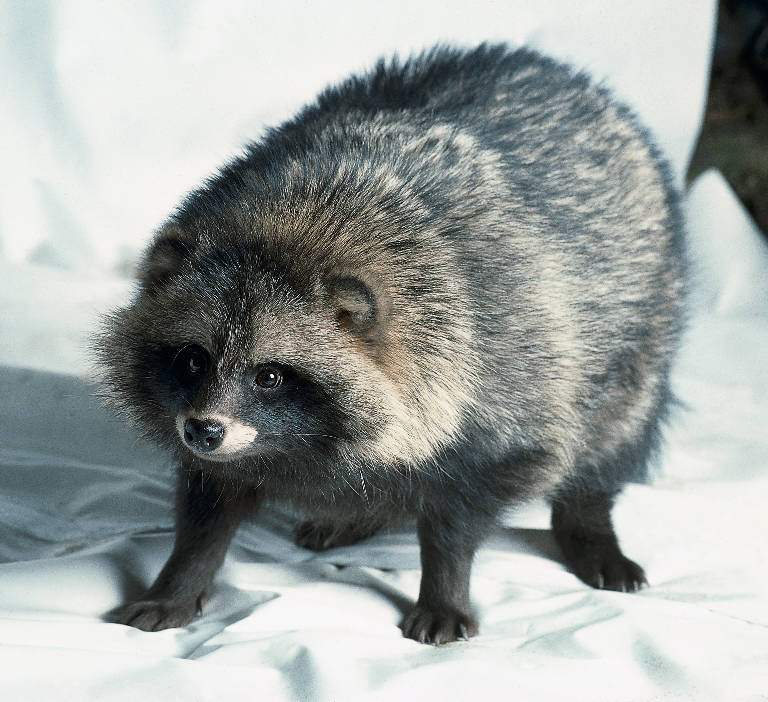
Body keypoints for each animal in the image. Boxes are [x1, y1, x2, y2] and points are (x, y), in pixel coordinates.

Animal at [96, 44, 686, 645]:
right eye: (193, 359)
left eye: (269, 375)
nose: (204, 429)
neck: (296, 225)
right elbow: (209, 504)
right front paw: (179, 578)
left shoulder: (505, 369)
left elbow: (459, 512)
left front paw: (446, 585)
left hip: (643, 328)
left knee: (613, 434)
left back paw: (588, 520)